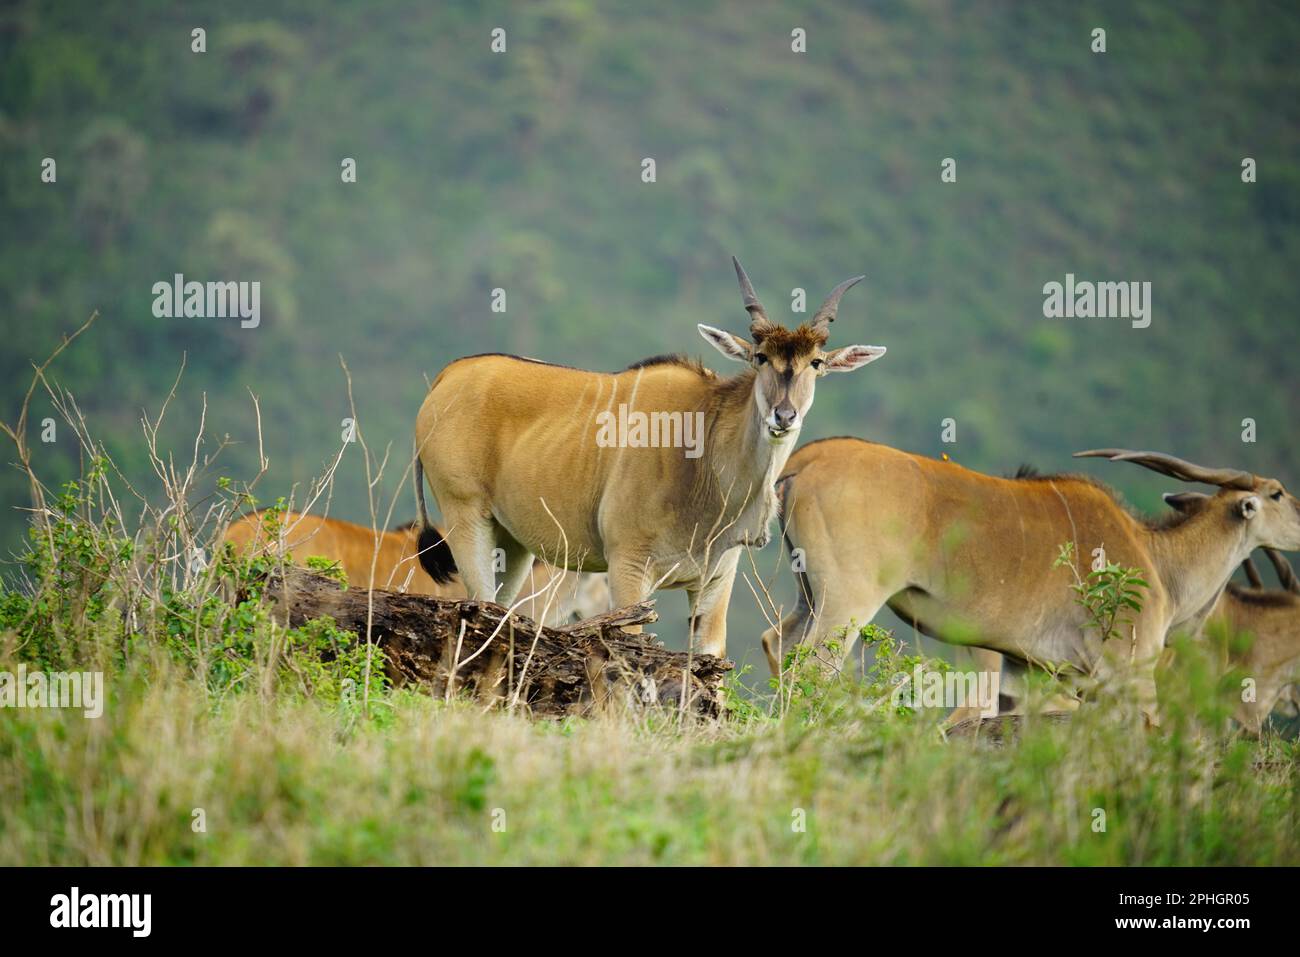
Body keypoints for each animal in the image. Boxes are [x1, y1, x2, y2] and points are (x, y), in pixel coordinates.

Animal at [412, 258, 886, 656]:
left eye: (817, 363)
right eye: (760, 357)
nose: (783, 416)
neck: (704, 445)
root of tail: (447, 377)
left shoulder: (716, 579)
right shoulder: (627, 565)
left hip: (511, 543)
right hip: (466, 516)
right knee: (477, 601)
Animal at [760, 442, 1300, 721]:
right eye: (1277, 493)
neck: (1158, 558)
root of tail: (803, 459)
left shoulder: (1030, 670)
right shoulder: (1127, 671)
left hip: (811, 595)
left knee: (777, 642)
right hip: (847, 602)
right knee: (814, 668)